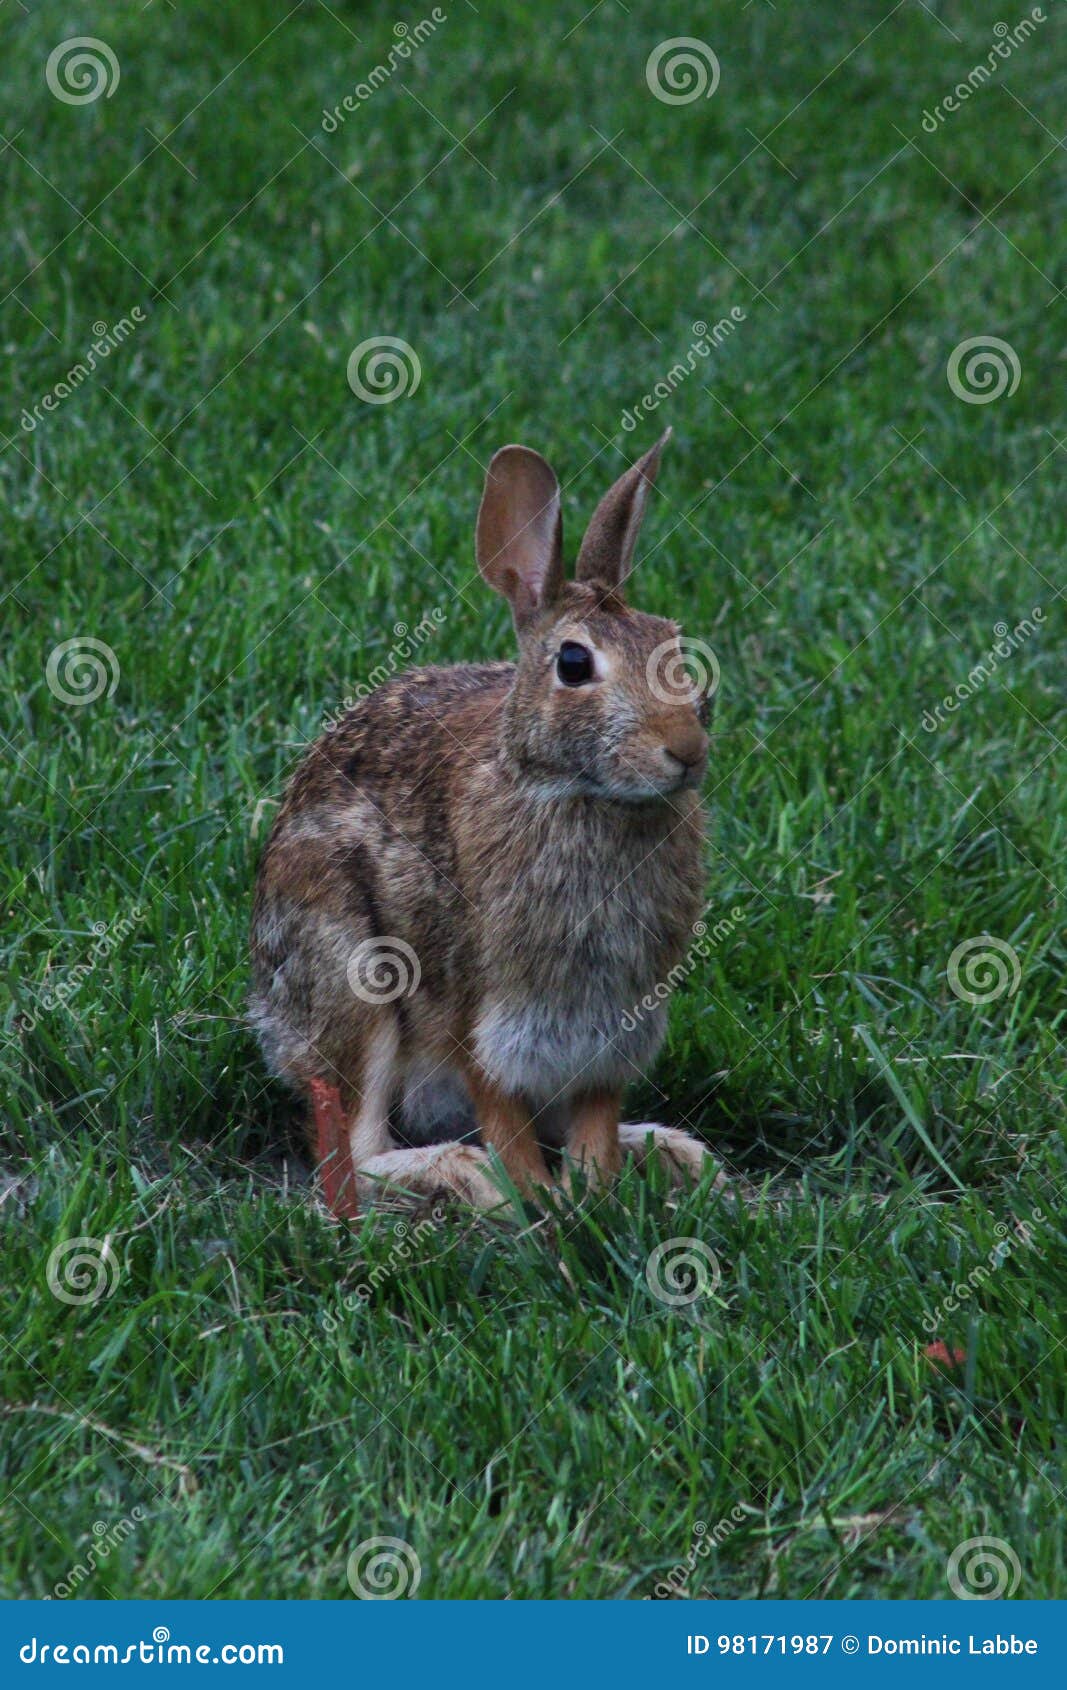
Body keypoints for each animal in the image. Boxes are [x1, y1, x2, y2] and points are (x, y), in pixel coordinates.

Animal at [249, 428, 723, 1214]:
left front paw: (594, 1187)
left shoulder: (615, 1021)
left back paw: (665, 1150)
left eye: (674, 642)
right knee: (357, 1151)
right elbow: (498, 1105)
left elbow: (595, 1109)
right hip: (349, 971)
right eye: (573, 663)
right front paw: (531, 1196)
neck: (576, 794)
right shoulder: (479, 1007)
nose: (686, 751)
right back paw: (462, 1174)